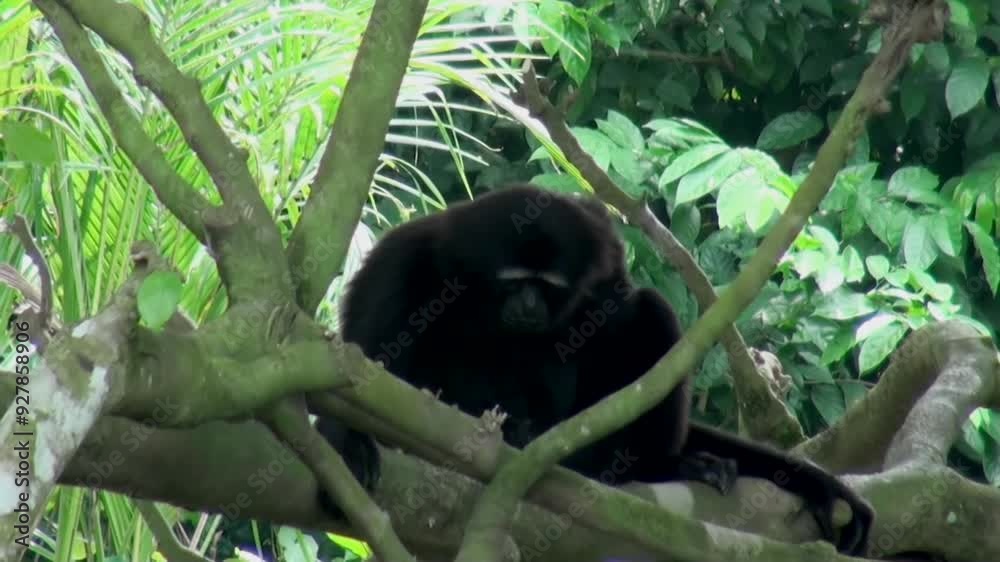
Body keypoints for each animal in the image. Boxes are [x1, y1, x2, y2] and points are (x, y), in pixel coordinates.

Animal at [322, 183, 873, 555]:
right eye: (513, 281)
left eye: (548, 286)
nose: (529, 305)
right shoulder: (404, 262)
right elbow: (363, 363)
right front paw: (346, 438)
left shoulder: (603, 256)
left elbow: (619, 306)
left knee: (647, 309)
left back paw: (653, 463)